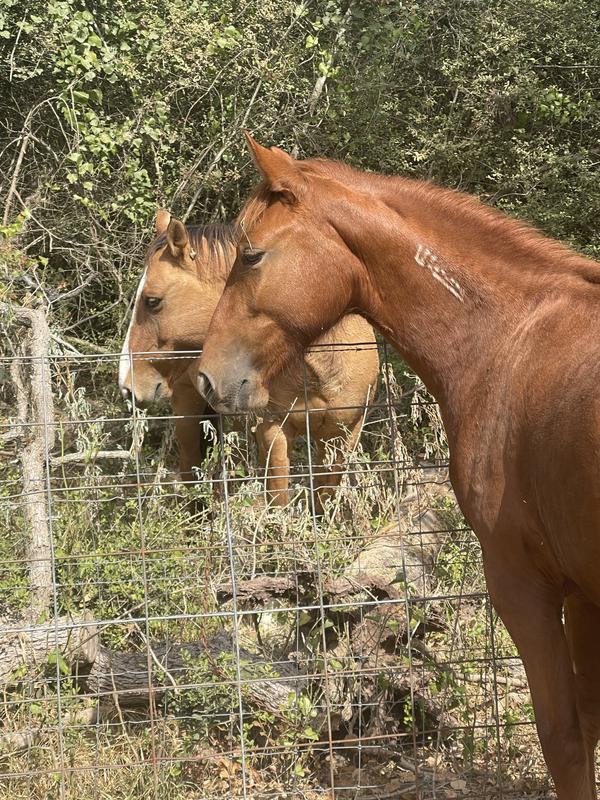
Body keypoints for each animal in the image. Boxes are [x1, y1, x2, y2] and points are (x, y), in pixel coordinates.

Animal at [118, 209, 379, 510]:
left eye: (152, 301)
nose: (126, 384)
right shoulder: (273, 432)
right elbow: (279, 500)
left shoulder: (343, 435)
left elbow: (325, 503)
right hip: (187, 411)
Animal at [196, 133, 600, 799]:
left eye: (251, 255)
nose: (208, 378)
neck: (509, 338)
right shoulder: (584, 593)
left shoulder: (525, 584)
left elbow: (565, 741)